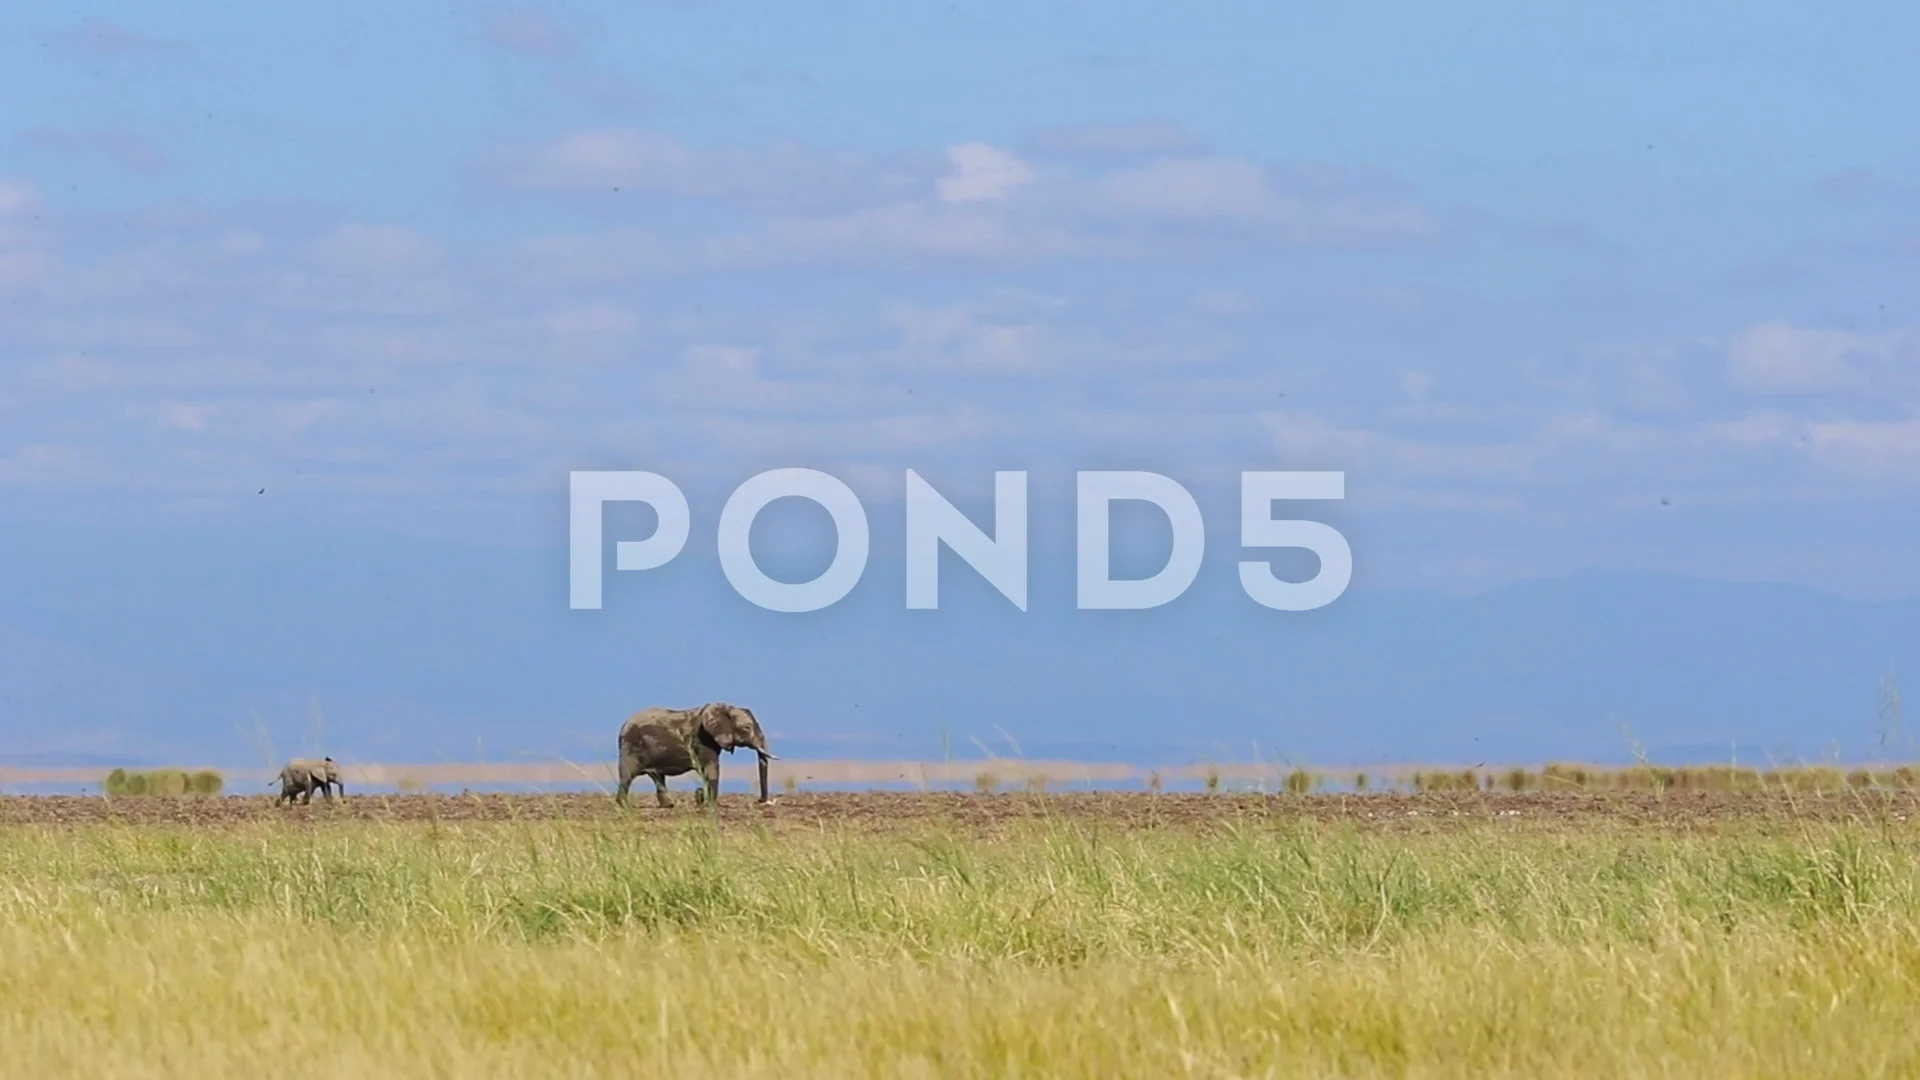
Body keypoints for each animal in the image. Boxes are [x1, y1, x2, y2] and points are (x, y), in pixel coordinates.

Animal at [615, 701, 777, 809]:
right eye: (747, 727)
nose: (760, 801)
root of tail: (623, 725)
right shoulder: (703, 739)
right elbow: (711, 769)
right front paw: (710, 804)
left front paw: (702, 798)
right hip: (631, 746)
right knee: (627, 775)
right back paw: (624, 806)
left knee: (657, 777)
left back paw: (668, 806)